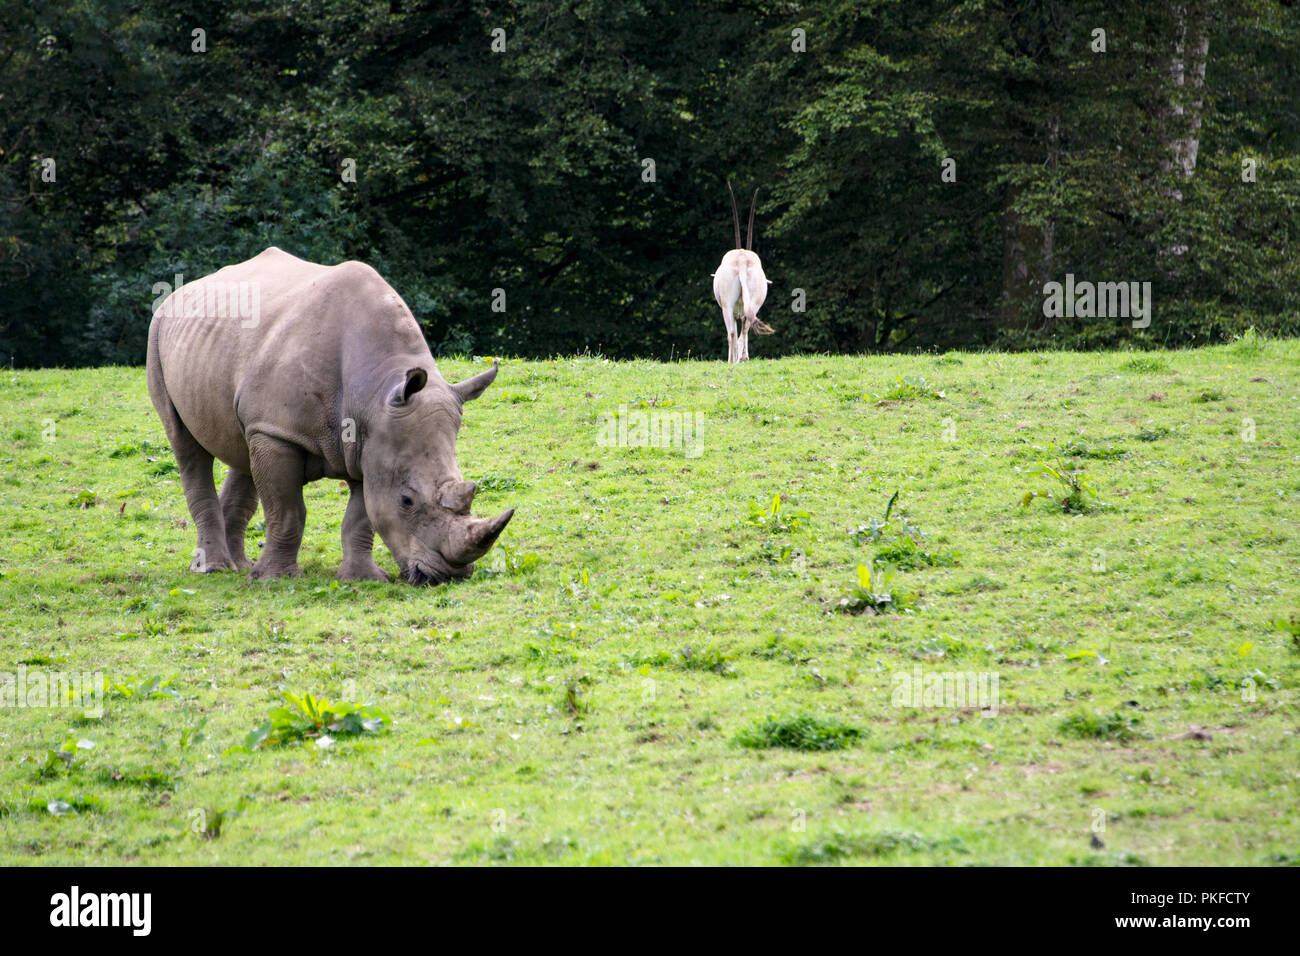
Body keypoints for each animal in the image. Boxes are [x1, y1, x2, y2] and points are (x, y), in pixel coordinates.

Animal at [145, 247, 513, 585]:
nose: (449, 576)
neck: (374, 392)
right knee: (187, 447)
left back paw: (240, 567)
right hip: (157, 335)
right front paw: (276, 579)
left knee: (243, 446)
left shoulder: (372, 444)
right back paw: (216, 569)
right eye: (407, 500)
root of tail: (179, 293)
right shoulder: (282, 432)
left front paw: (363, 579)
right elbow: (287, 510)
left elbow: (361, 516)